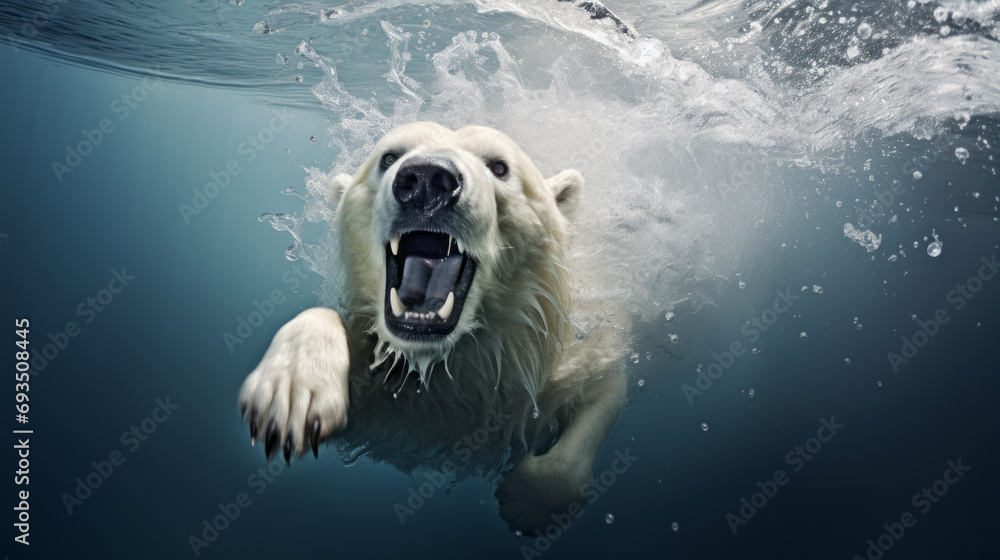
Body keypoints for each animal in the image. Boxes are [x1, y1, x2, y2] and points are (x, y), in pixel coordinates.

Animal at [238, 121, 626, 534]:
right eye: (389, 157)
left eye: (499, 167)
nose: (426, 179)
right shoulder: (391, 388)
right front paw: (291, 393)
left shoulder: (555, 358)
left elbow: (606, 382)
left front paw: (527, 503)